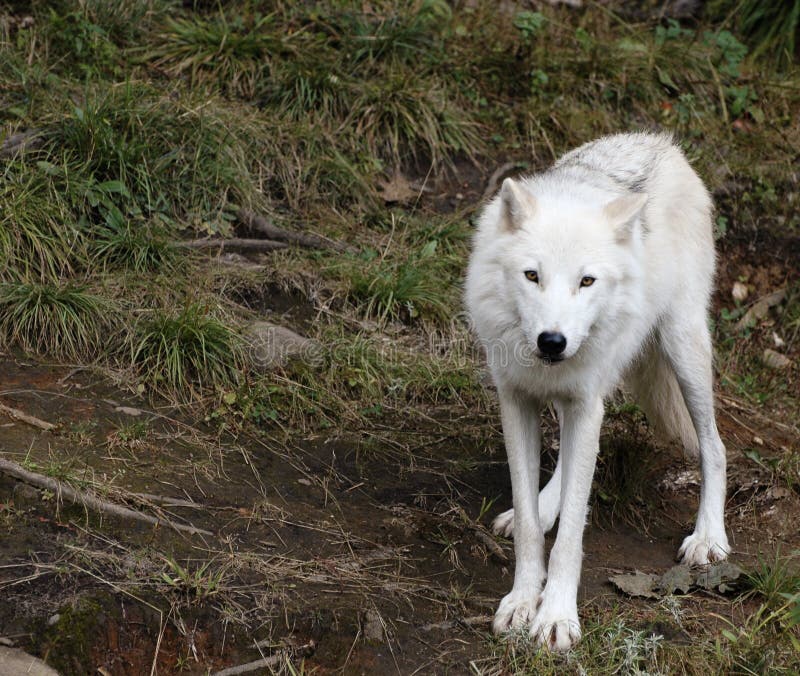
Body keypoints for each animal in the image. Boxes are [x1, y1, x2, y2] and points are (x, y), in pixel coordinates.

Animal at [464, 132, 730, 651]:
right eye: (532, 275)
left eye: (586, 280)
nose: (552, 341)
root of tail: (664, 144)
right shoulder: (518, 400)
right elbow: (530, 525)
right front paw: (522, 601)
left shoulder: (587, 403)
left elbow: (571, 535)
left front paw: (555, 618)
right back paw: (546, 503)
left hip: (683, 347)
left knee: (715, 447)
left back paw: (708, 537)